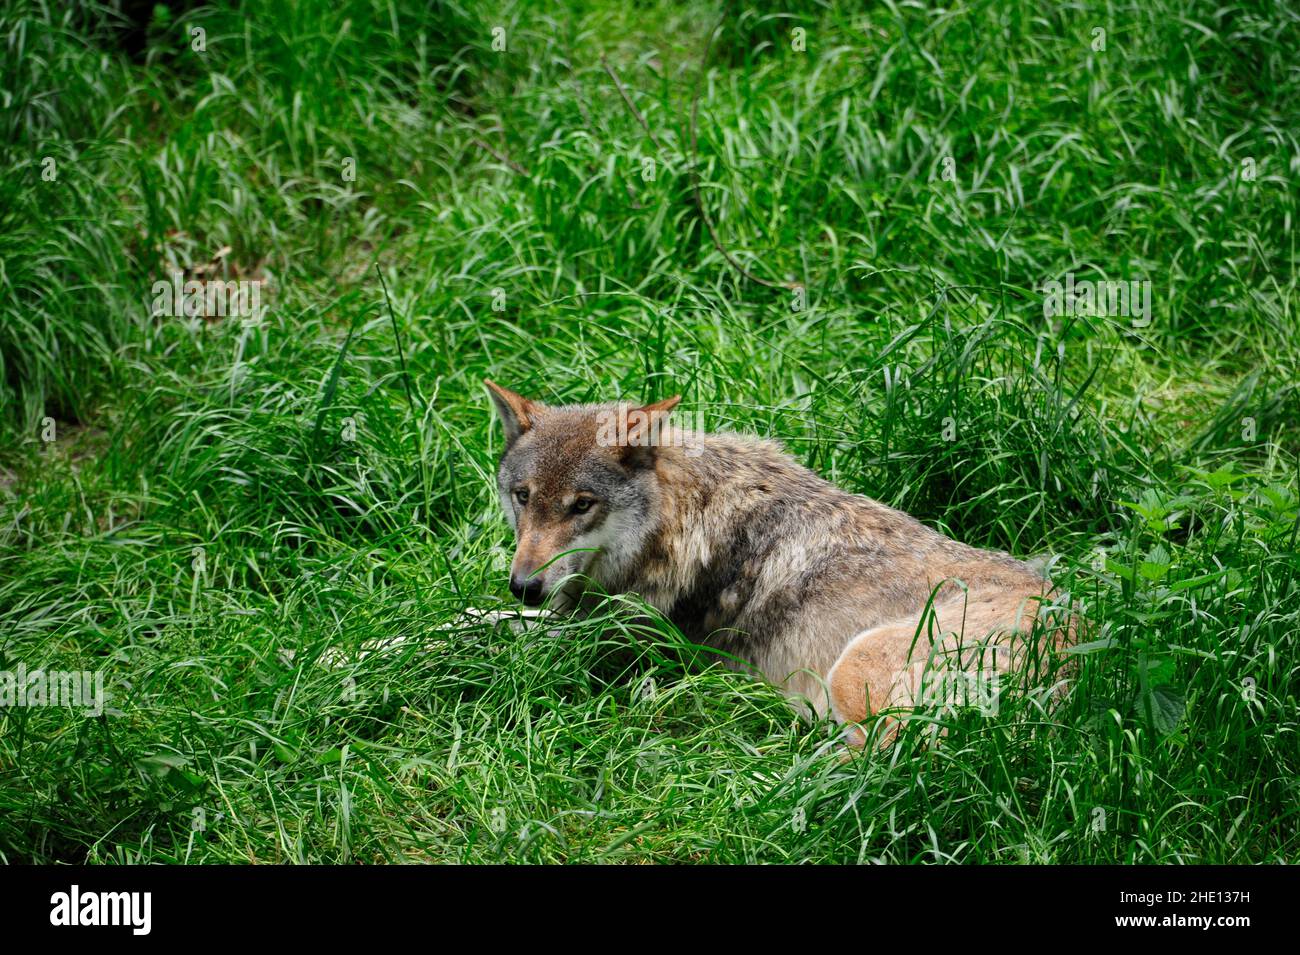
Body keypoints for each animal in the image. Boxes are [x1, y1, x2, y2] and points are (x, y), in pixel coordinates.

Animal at [485, 380, 1071, 741]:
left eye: (582, 505)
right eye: (523, 496)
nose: (524, 585)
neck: (678, 520)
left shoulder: (622, 640)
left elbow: (490, 629)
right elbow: (491, 617)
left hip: (855, 665)